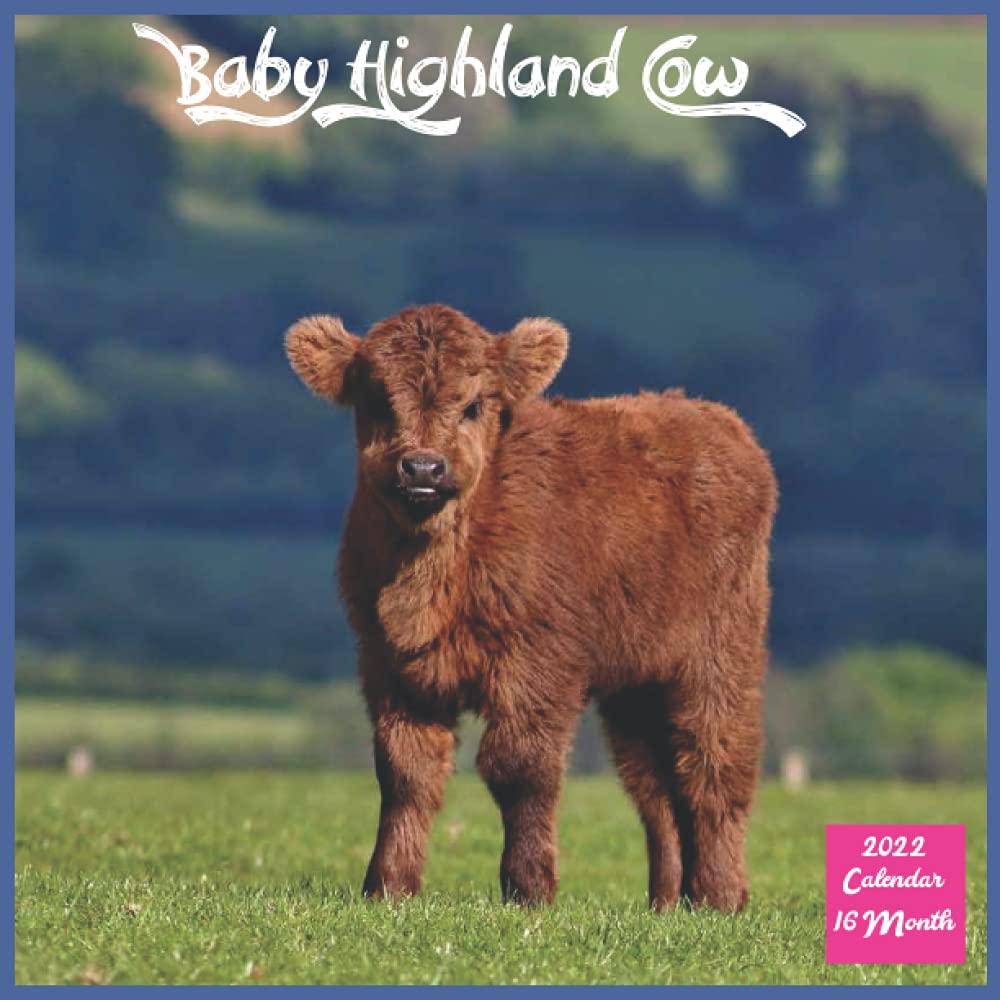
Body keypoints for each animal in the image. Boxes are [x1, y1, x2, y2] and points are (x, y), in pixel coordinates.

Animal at [285, 303, 777, 913]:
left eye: (474, 404)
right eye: (376, 401)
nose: (422, 468)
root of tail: (717, 419)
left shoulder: (538, 665)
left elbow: (520, 768)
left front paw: (528, 888)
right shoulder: (390, 667)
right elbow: (406, 773)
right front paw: (389, 886)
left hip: (719, 658)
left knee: (715, 765)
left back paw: (719, 896)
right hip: (637, 683)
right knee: (657, 786)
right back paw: (668, 901)